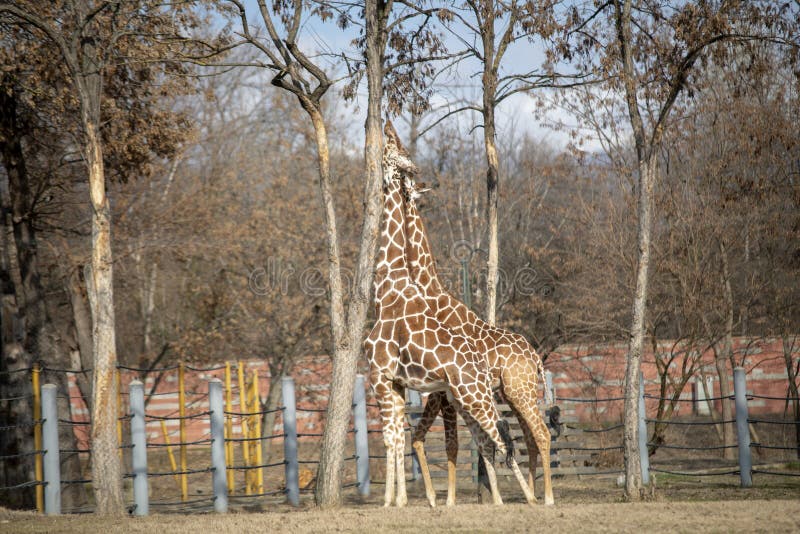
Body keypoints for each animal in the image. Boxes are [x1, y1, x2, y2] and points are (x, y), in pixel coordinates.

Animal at [364, 120, 536, 507]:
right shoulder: (399, 382)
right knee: (506, 439)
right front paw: (402, 500)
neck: (389, 287)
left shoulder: (381, 375)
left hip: (486, 396)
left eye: (394, 146)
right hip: (483, 396)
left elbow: (397, 438)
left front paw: (392, 501)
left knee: (509, 439)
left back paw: (533, 499)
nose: (386, 125)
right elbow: (402, 436)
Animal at [400, 176, 555, 507]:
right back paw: (531, 494)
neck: (433, 296)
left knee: (542, 434)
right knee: (529, 439)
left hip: (519, 390)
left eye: (411, 188)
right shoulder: (445, 393)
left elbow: (454, 443)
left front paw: (448, 500)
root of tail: (535, 358)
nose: (404, 186)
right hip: (512, 393)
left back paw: (547, 497)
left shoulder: (443, 394)